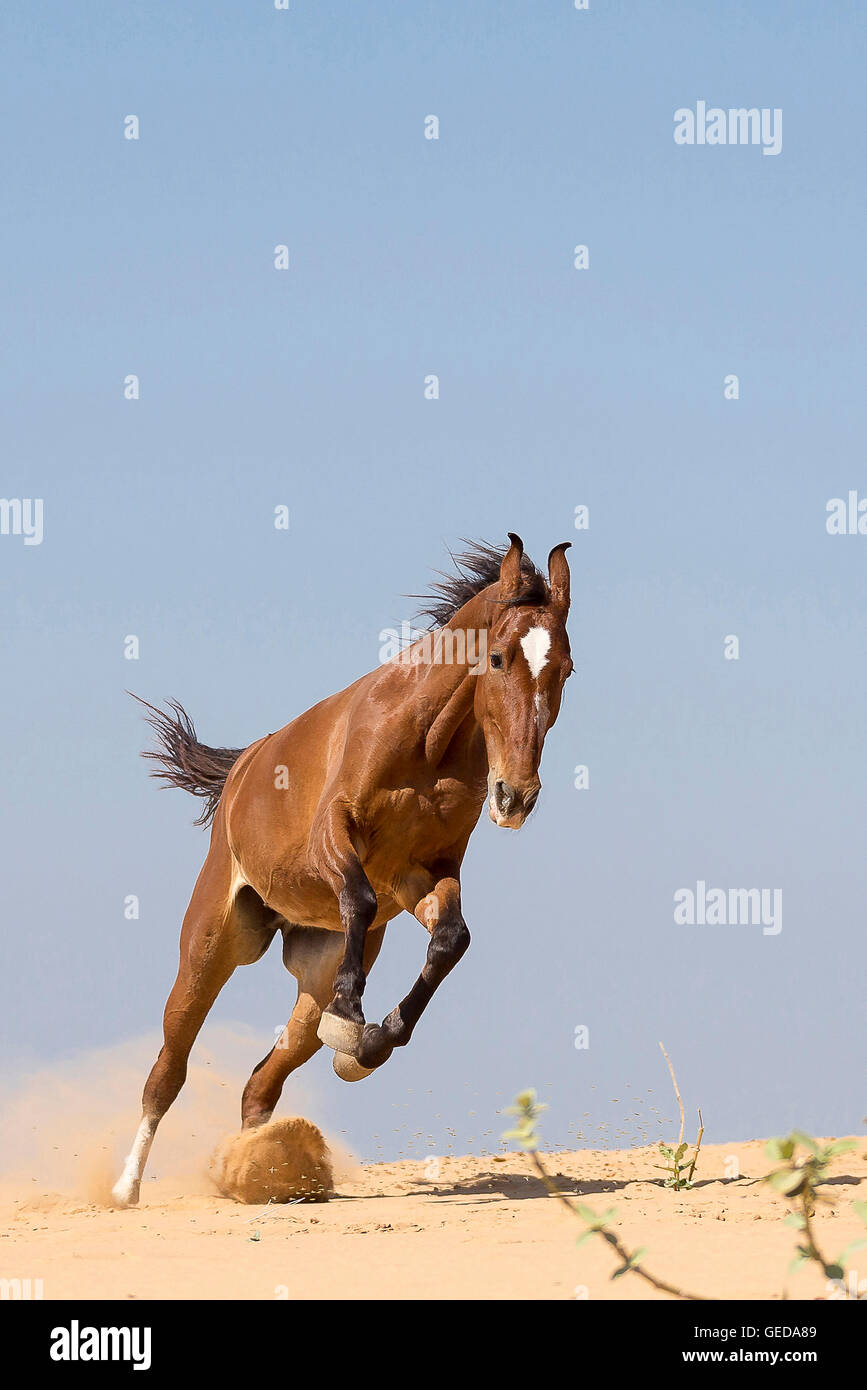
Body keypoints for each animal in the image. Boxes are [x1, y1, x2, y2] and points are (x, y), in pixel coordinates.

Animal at [111, 533, 573, 1206]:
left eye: (565, 669)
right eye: (496, 658)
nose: (515, 797)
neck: (426, 741)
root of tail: (239, 772)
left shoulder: (421, 870)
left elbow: (451, 939)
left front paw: (371, 1043)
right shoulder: (335, 838)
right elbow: (358, 898)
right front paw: (353, 1018)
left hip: (311, 976)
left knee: (262, 1081)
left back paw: (258, 1166)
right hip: (211, 947)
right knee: (168, 1067)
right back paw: (126, 1187)